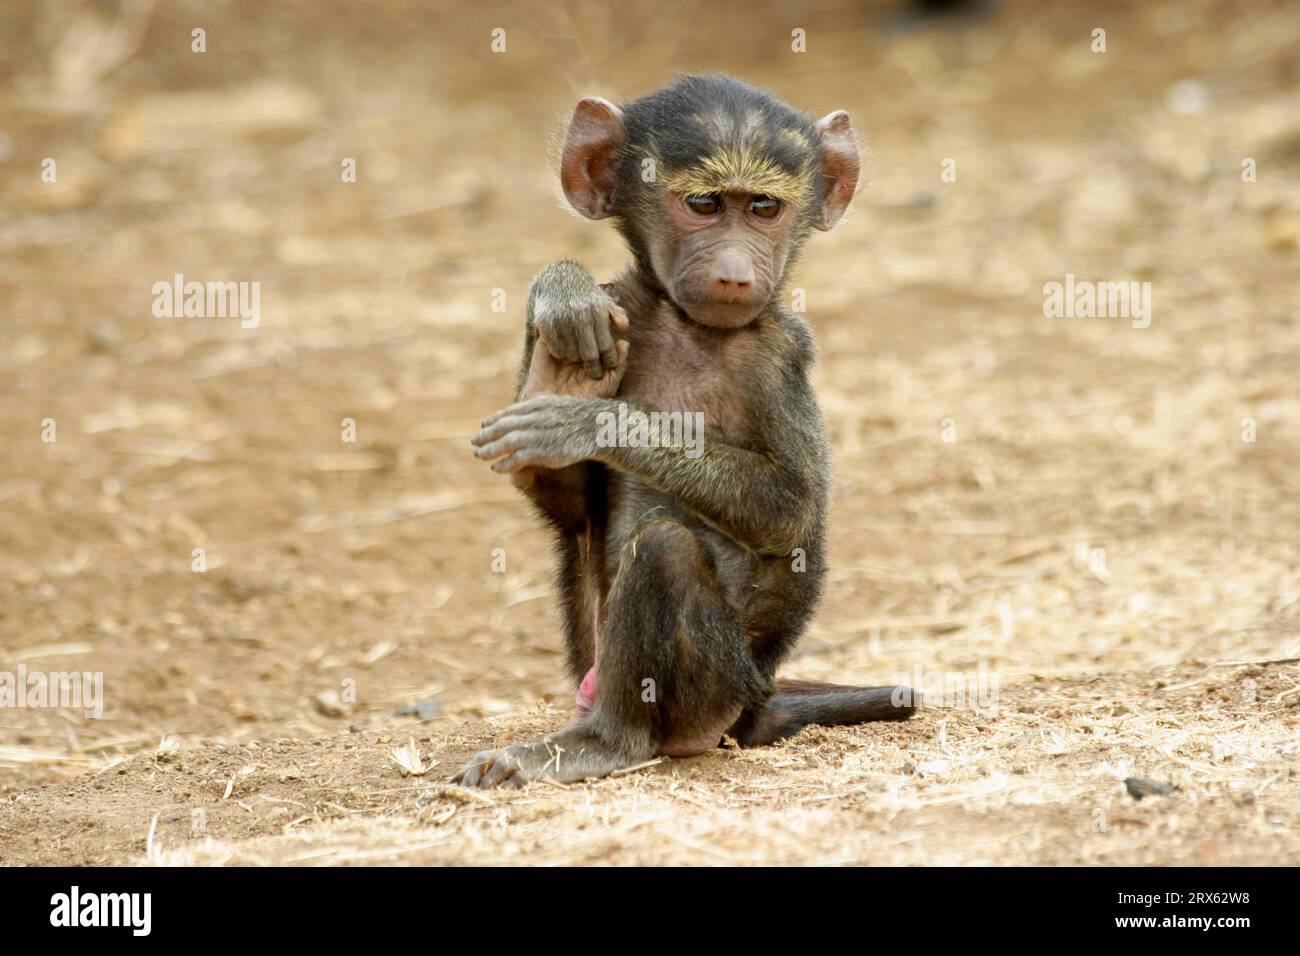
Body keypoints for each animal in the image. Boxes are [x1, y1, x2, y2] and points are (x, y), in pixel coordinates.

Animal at [454, 74, 915, 789]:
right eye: (703, 204)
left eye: (762, 207)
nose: (735, 271)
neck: (684, 324)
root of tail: (754, 706)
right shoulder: (625, 306)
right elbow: (574, 515)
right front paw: (563, 299)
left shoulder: (777, 354)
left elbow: (790, 509)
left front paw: (584, 419)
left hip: (715, 691)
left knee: (664, 548)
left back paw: (603, 743)